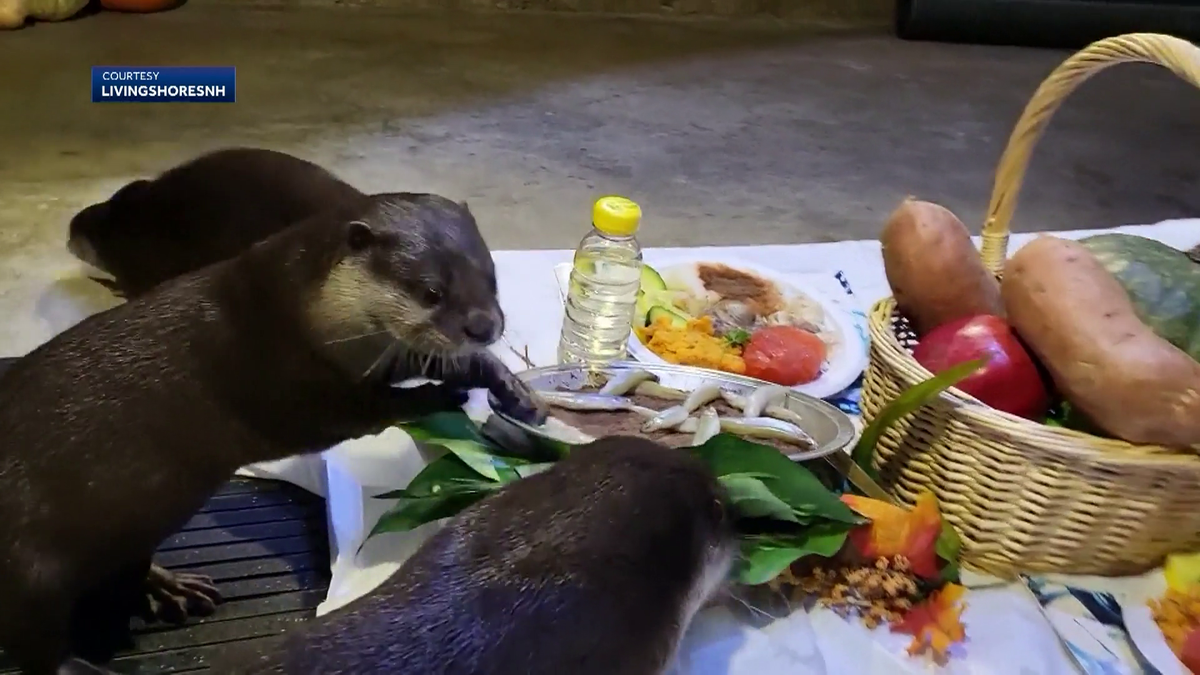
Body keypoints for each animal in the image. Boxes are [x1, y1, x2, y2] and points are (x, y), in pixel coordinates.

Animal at [0, 192, 543, 674]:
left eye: (491, 280)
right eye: (432, 291)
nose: (484, 325)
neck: (285, 318)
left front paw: (514, 391)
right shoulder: (289, 388)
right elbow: (366, 411)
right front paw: (442, 397)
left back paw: (169, 587)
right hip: (30, 564)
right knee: (37, 645)